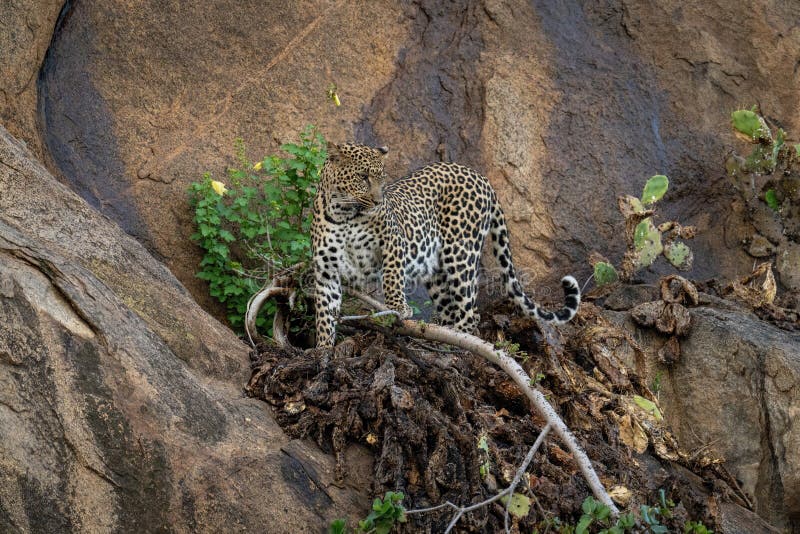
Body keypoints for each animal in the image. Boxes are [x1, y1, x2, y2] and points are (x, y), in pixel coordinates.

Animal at [311, 143, 580, 348]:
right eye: (363, 177)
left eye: (382, 178)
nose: (378, 200)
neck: (345, 215)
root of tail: (481, 177)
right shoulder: (326, 271)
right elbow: (325, 313)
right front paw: (323, 351)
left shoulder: (393, 243)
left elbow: (392, 279)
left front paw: (398, 308)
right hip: (437, 271)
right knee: (451, 308)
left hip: (460, 253)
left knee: (471, 313)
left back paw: (457, 343)